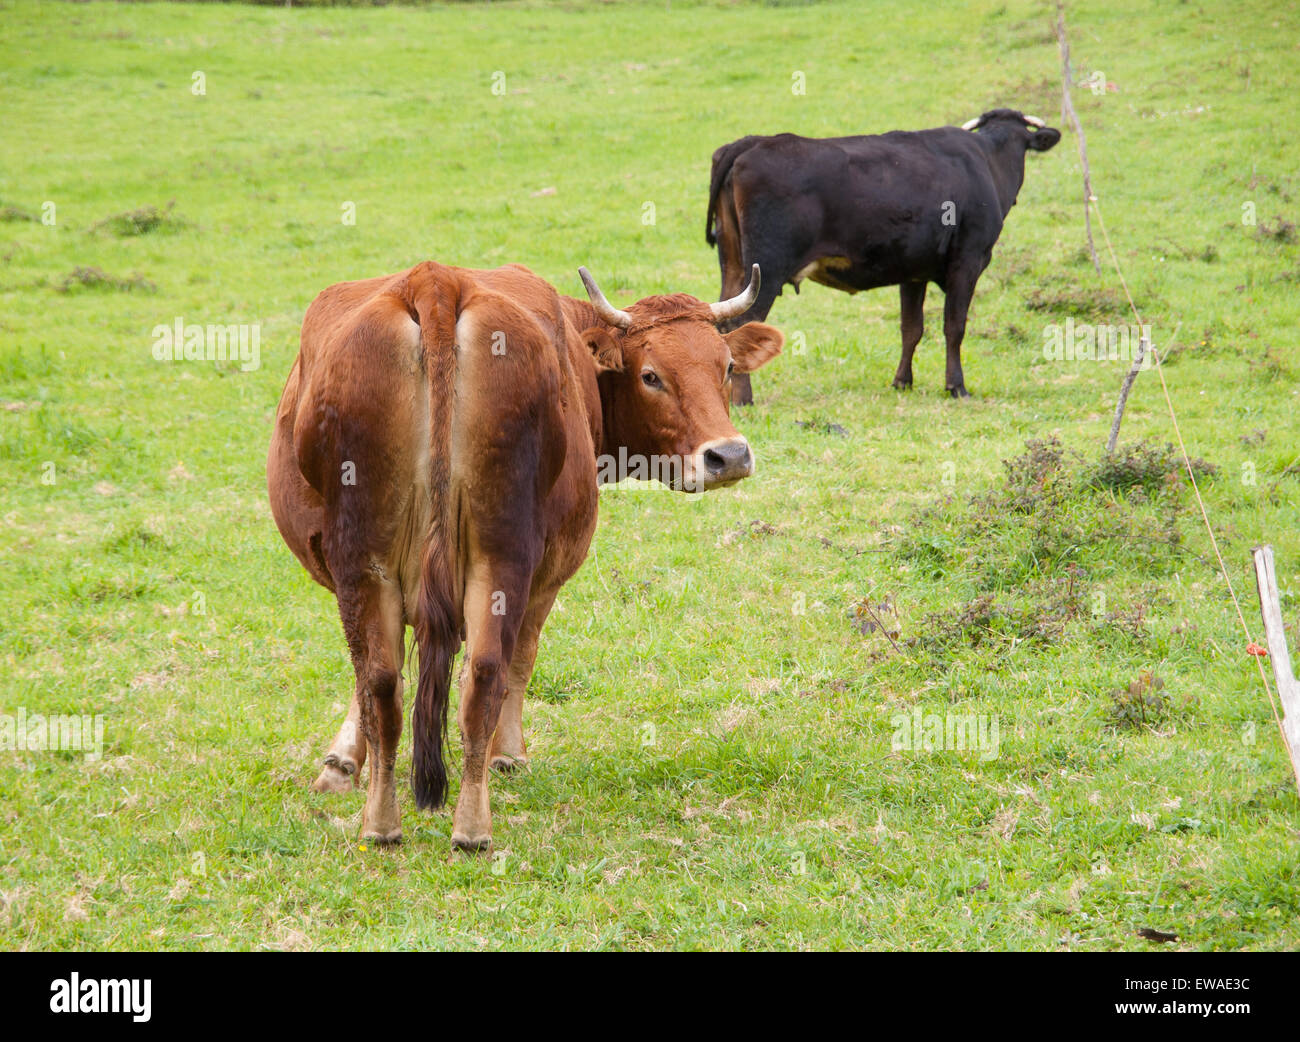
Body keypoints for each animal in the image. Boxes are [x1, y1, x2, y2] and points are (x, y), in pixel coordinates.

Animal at [267, 260, 782, 851]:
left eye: (726, 366)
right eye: (651, 375)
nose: (730, 456)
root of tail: (436, 283)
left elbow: (371, 675)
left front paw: (344, 762)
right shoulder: (549, 571)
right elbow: (521, 656)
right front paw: (508, 756)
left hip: (385, 561)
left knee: (397, 676)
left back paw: (395, 825)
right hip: (497, 557)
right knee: (479, 671)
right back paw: (467, 824)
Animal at [705, 108, 1061, 404]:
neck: (987, 159)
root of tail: (754, 141)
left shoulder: (914, 271)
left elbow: (912, 328)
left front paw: (902, 382)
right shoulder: (968, 261)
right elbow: (954, 327)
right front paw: (956, 386)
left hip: (736, 267)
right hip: (767, 268)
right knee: (743, 322)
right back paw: (744, 398)